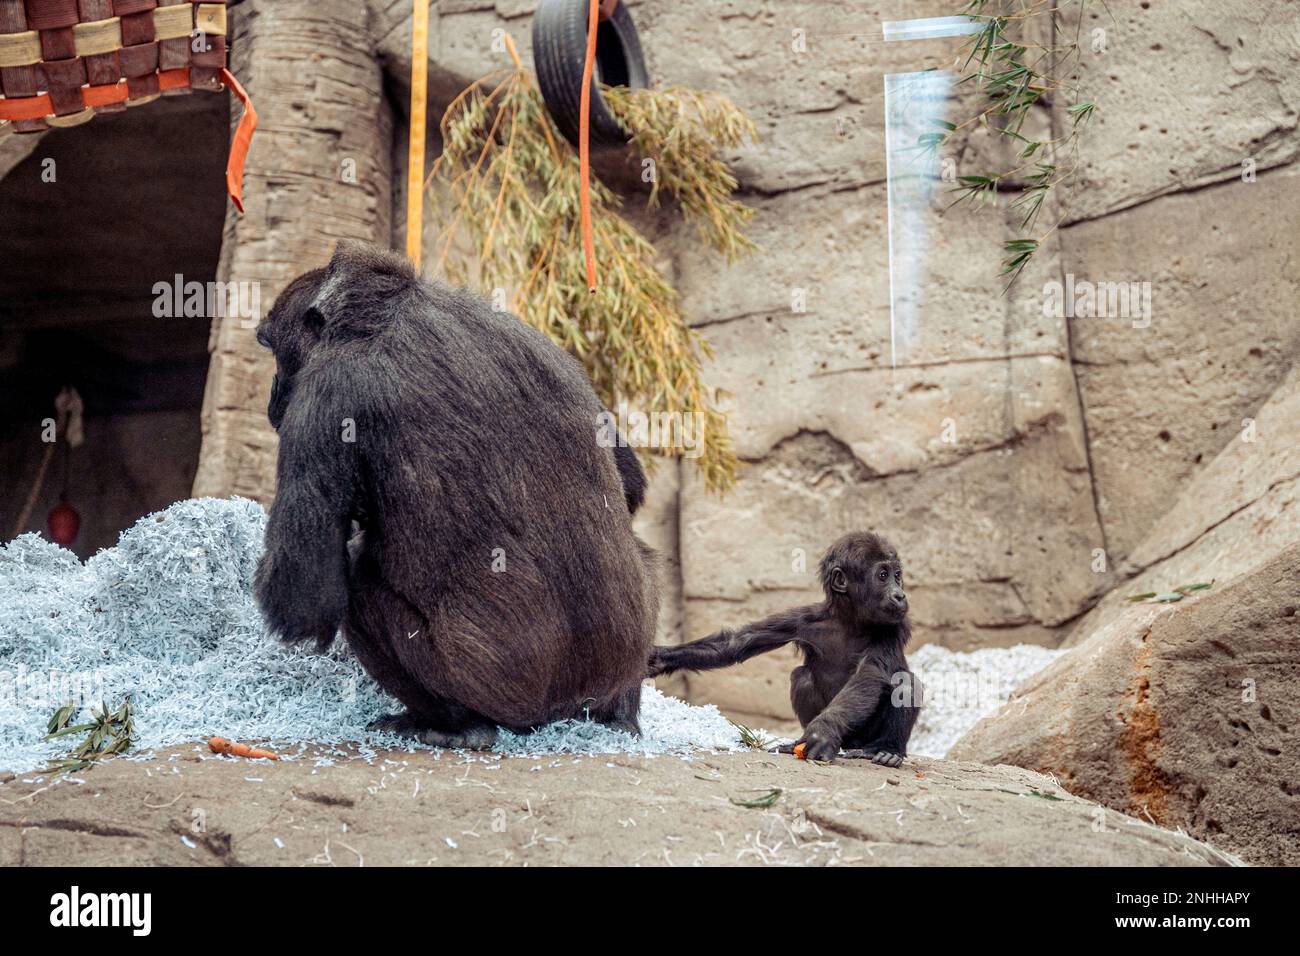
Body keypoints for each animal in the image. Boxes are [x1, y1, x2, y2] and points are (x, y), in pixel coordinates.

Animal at [253, 241, 658, 749]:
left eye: (274, 351)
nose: (272, 394)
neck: (389, 312)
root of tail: (570, 705)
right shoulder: (548, 348)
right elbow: (629, 480)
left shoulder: (325, 394)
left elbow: (305, 597)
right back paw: (622, 712)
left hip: (505, 696)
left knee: (361, 581)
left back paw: (454, 726)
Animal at [647, 532, 921, 766]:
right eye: (883, 575)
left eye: (897, 575)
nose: (900, 595)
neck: (850, 618)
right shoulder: (801, 619)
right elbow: (737, 642)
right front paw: (663, 658)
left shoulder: (894, 627)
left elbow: (870, 673)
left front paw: (824, 729)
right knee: (802, 676)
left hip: (865, 738)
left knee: (906, 682)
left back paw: (887, 750)